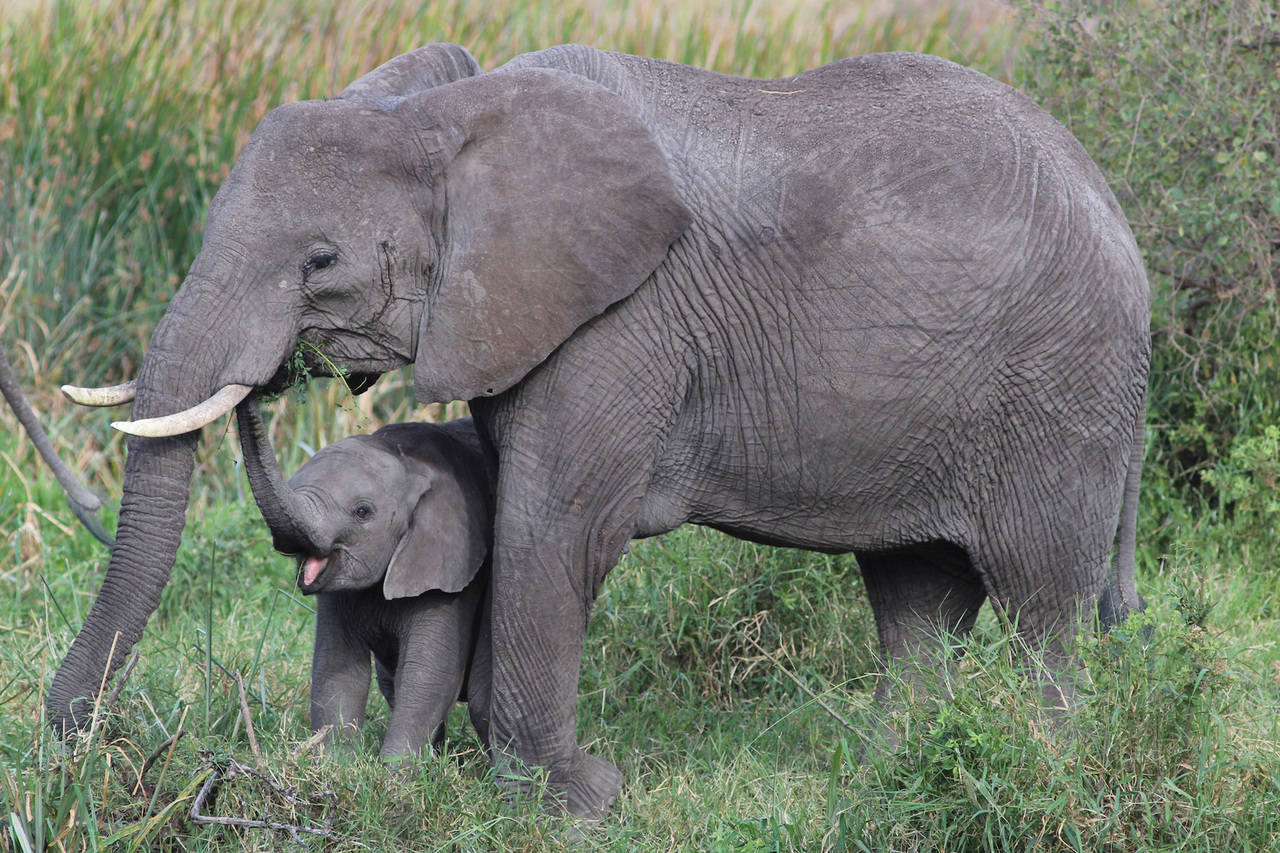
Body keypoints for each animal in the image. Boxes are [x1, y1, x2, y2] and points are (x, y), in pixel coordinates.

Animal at [234, 395, 494, 759]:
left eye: (362, 512)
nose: (253, 394)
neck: (411, 460)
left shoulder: (455, 568)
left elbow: (429, 675)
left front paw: (393, 772)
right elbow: (337, 669)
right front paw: (337, 763)